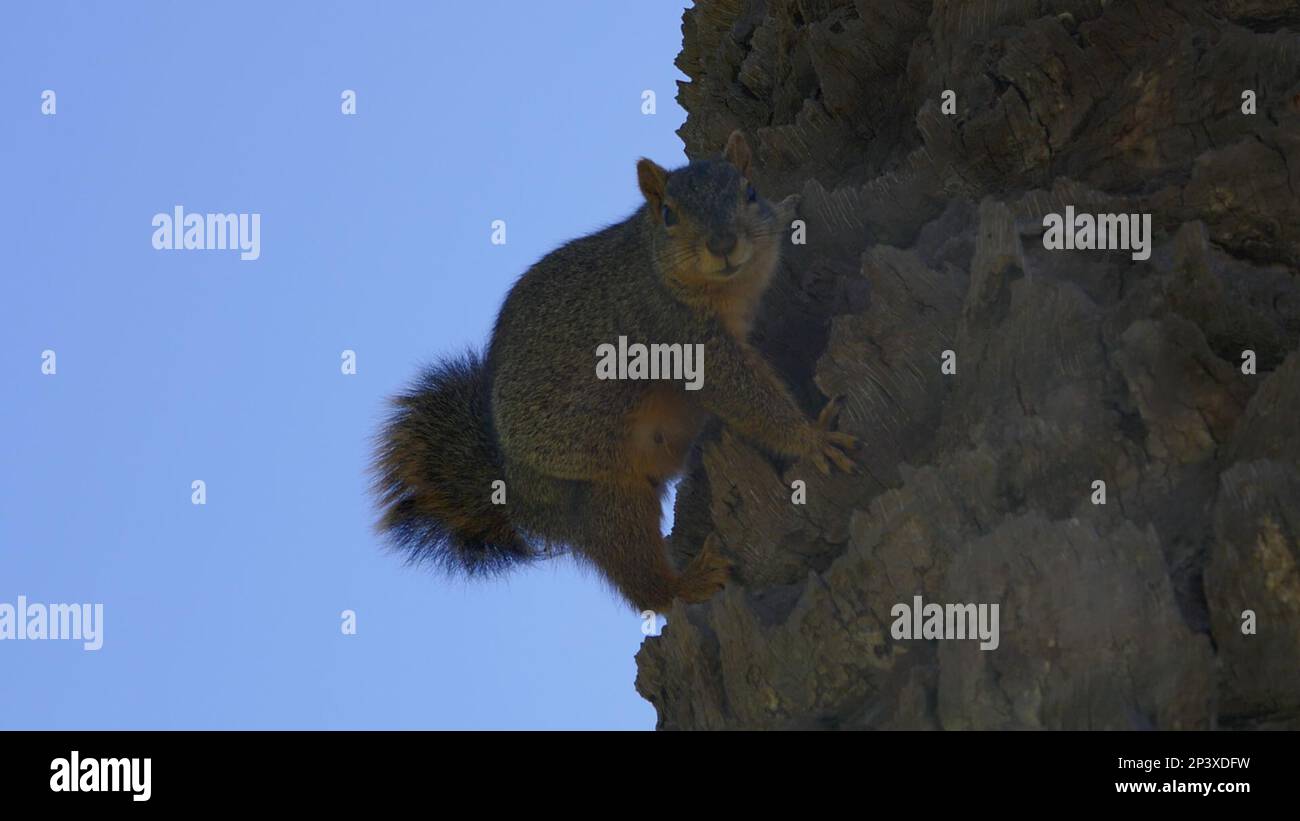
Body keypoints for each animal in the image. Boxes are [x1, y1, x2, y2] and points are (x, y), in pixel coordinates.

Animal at [372, 130, 858, 612]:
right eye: (669, 214)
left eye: (750, 192)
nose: (722, 244)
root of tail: (514, 494)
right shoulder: (678, 335)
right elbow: (739, 392)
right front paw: (813, 439)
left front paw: (789, 208)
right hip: (602, 493)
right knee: (638, 577)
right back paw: (687, 584)